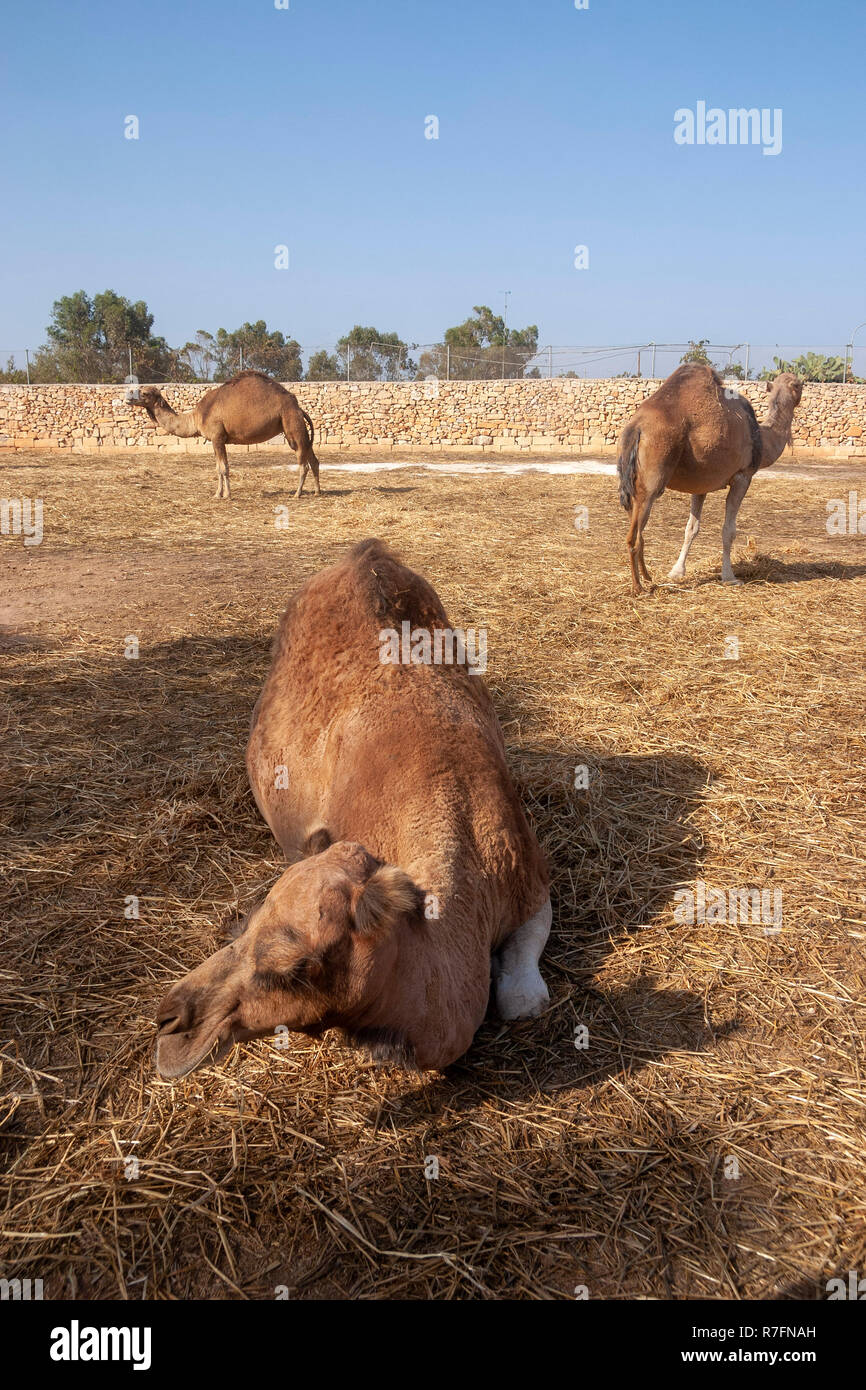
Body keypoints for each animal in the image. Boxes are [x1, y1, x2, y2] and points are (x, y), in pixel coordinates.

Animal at [127, 370, 321, 500]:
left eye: (144, 393)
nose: (128, 397)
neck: (197, 416)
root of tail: (298, 407)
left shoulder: (218, 437)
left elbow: (224, 468)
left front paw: (227, 495)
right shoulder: (214, 440)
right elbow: (217, 468)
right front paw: (216, 494)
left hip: (291, 424)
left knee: (303, 461)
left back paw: (297, 494)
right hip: (298, 428)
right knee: (313, 459)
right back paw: (317, 491)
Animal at [617, 365, 803, 594]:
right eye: (799, 385)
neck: (761, 436)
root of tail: (637, 428)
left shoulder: (700, 486)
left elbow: (691, 528)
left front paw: (677, 572)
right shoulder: (743, 476)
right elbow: (728, 530)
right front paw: (729, 577)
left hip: (631, 484)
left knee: (637, 529)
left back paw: (647, 576)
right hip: (653, 479)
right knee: (634, 536)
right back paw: (638, 587)